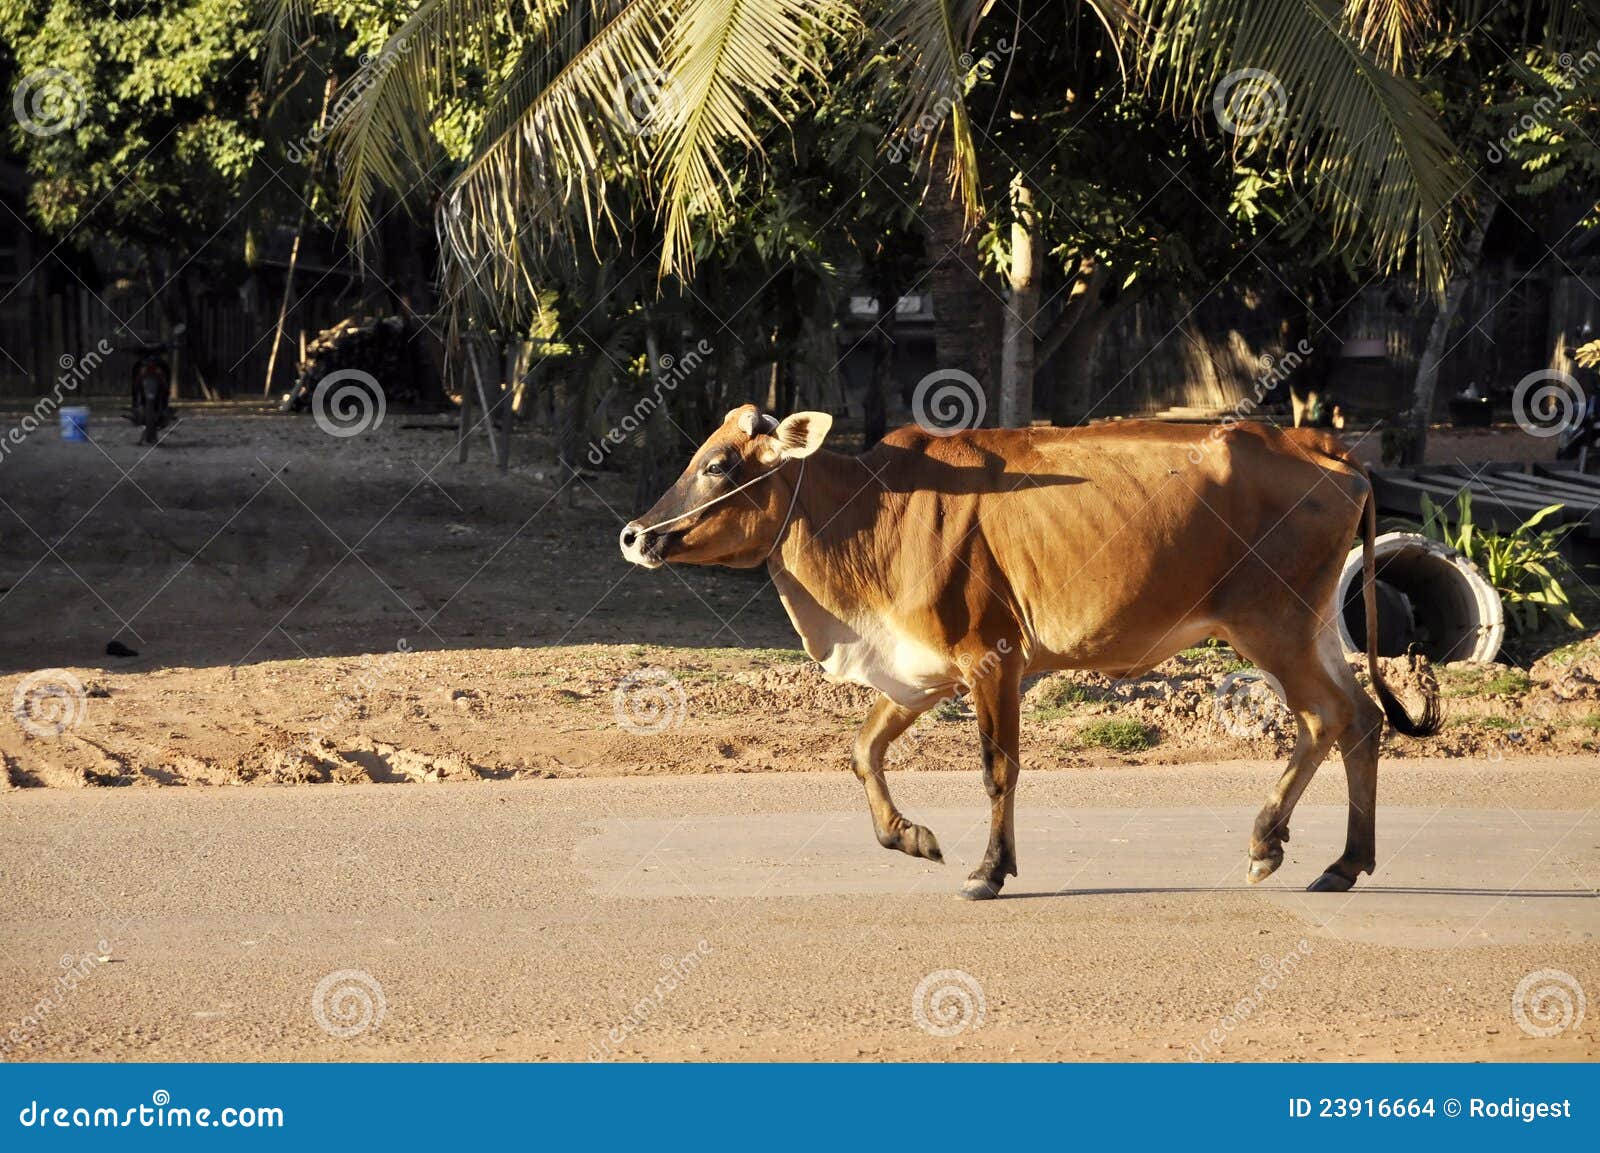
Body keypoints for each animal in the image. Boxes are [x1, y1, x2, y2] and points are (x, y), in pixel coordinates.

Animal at [619, 405, 1440, 899]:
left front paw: (989, 869)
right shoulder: (921, 671)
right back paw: (1340, 859)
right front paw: (909, 836)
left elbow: (997, 768)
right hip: (1308, 627)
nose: (632, 534)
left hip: (1273, 625)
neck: (871, 512)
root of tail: (1321, 445)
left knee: (1330, 719)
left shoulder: (994, 658)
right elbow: (863, 749)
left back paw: (1279, 844)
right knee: (1361, 720)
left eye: (719, 465)